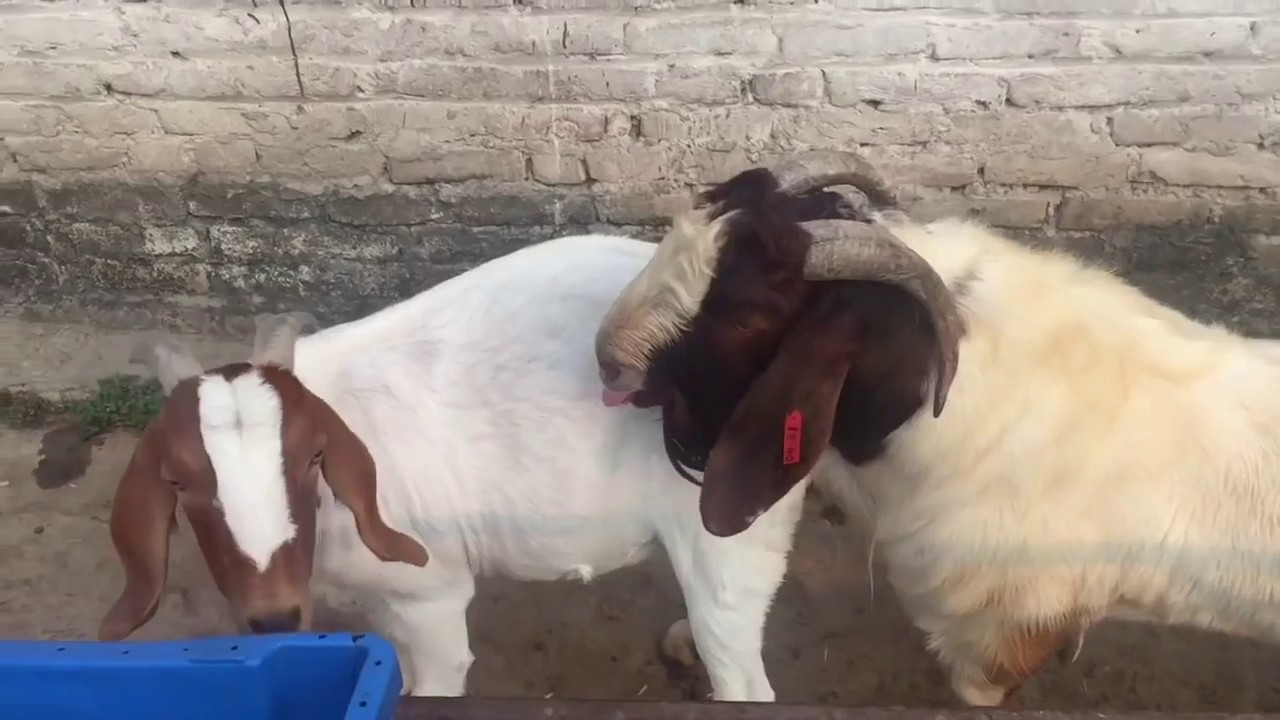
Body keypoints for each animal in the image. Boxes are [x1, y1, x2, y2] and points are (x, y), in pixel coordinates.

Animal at [97, 234, 810, 701]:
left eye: (312, 457)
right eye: (179, 483)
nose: (272, 618)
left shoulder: (430, 594)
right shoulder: (386, 598)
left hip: (728, 529)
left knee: (744, 672)